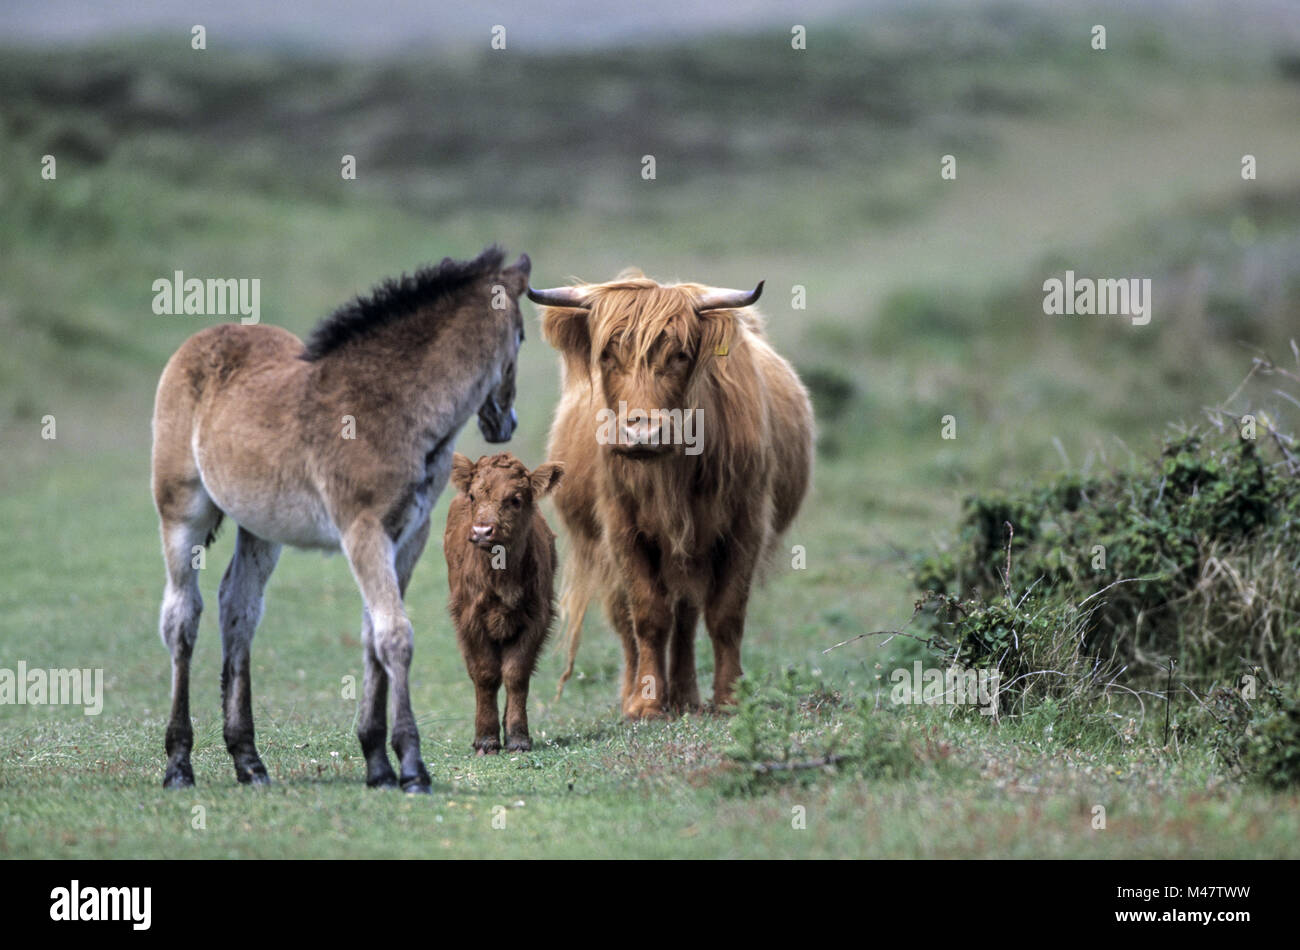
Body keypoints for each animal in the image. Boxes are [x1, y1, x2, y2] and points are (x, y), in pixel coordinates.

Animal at [149, 245, 531, 794]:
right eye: (521, 335)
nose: (505, 422)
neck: (391, 404)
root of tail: (202, 339)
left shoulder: (407, 536)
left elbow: (374, 635)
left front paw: (378, 764)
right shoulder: (361, 530)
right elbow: (395, 636)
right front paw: (412, 767)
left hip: (261, 529)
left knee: (238, 609)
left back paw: (249, 761)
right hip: (182, 510)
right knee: (183, 616)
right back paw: (179, 764)